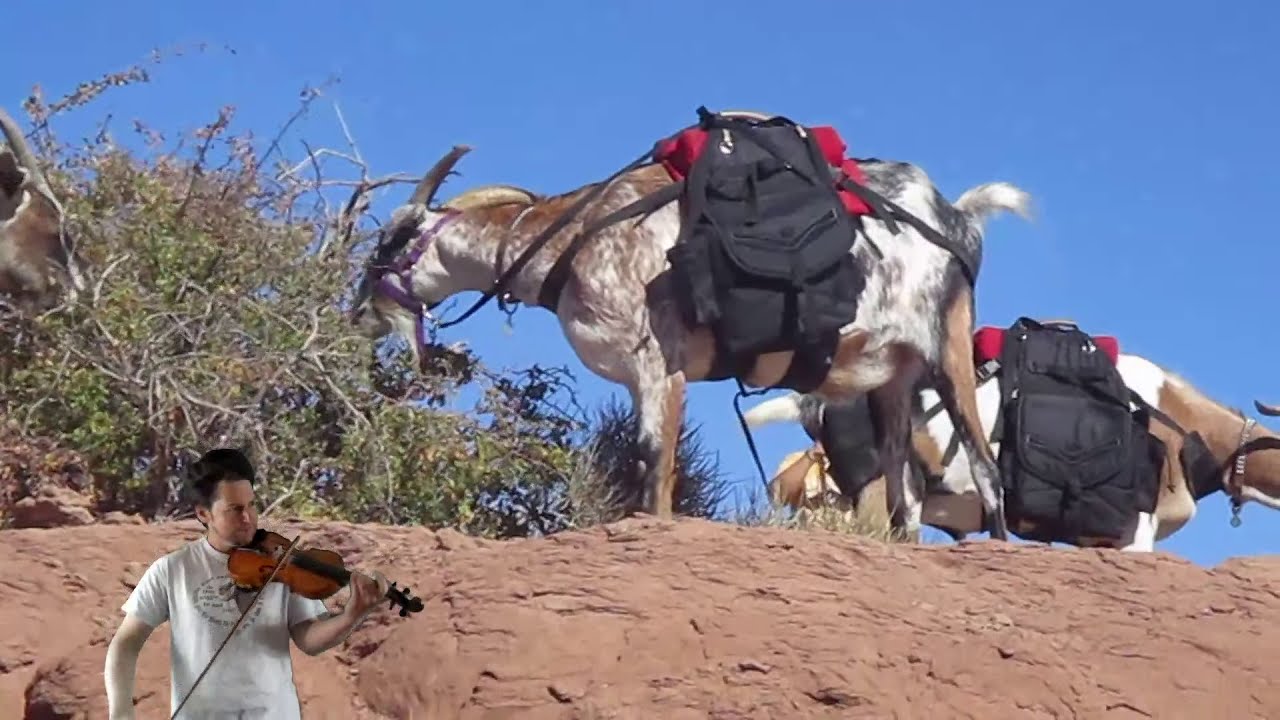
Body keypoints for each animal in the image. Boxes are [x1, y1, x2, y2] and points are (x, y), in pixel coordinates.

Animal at [348, 126, 1031, 539]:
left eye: (389, 243)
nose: (357, 312)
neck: (576, 237)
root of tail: (957, 217)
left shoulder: (660, 364)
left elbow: (656, 469)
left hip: (946, 345)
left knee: (986, 474)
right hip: (892, 380)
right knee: (904, 502)